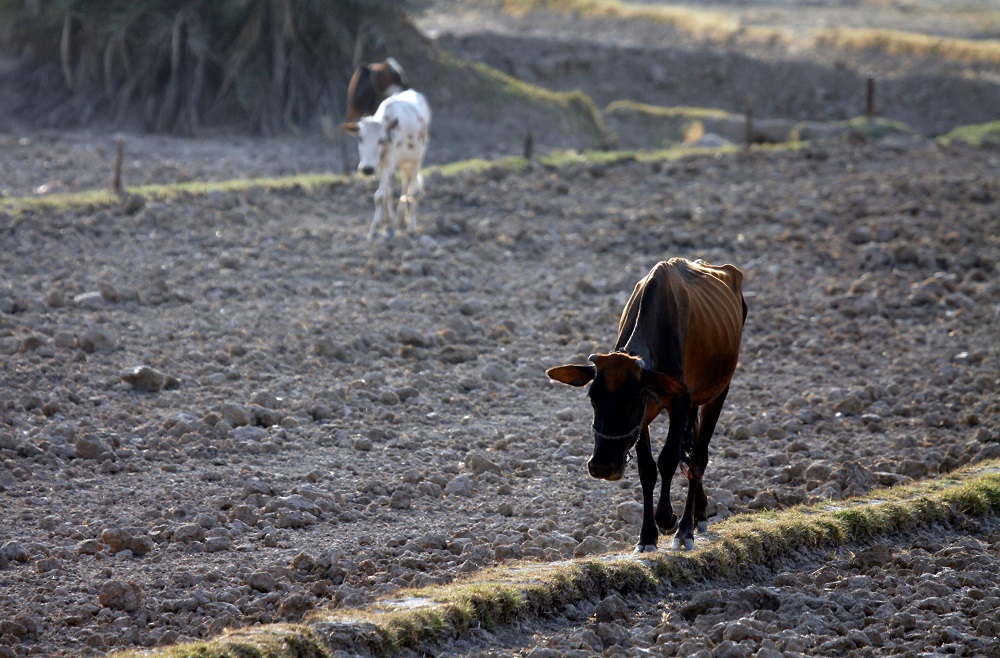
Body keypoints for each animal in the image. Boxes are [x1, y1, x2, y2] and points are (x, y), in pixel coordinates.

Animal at [341, 88, 431, 240]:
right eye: (360, 138)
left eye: (381, 140)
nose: (367, 169)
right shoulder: (378, 166)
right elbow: (386, 193)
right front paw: (389, 226)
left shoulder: (389, 162)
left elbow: (380, 195)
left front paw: (374, 230)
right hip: (402, 161)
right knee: (405, 183)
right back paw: (401, 219)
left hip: (417, 158)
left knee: (413, 189)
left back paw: (411, 226)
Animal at [546, 258, 747, 552]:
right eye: (593, 398)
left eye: (632, 401)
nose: (601, 467)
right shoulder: (646, 420)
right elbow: (647, 470)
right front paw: (646, 536)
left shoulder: (679, 401)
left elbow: (668, 459)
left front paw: (668, 520)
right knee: (692, 453)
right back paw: (699, 512)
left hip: (719, 392)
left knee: (698, 458)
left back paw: (687, 527)